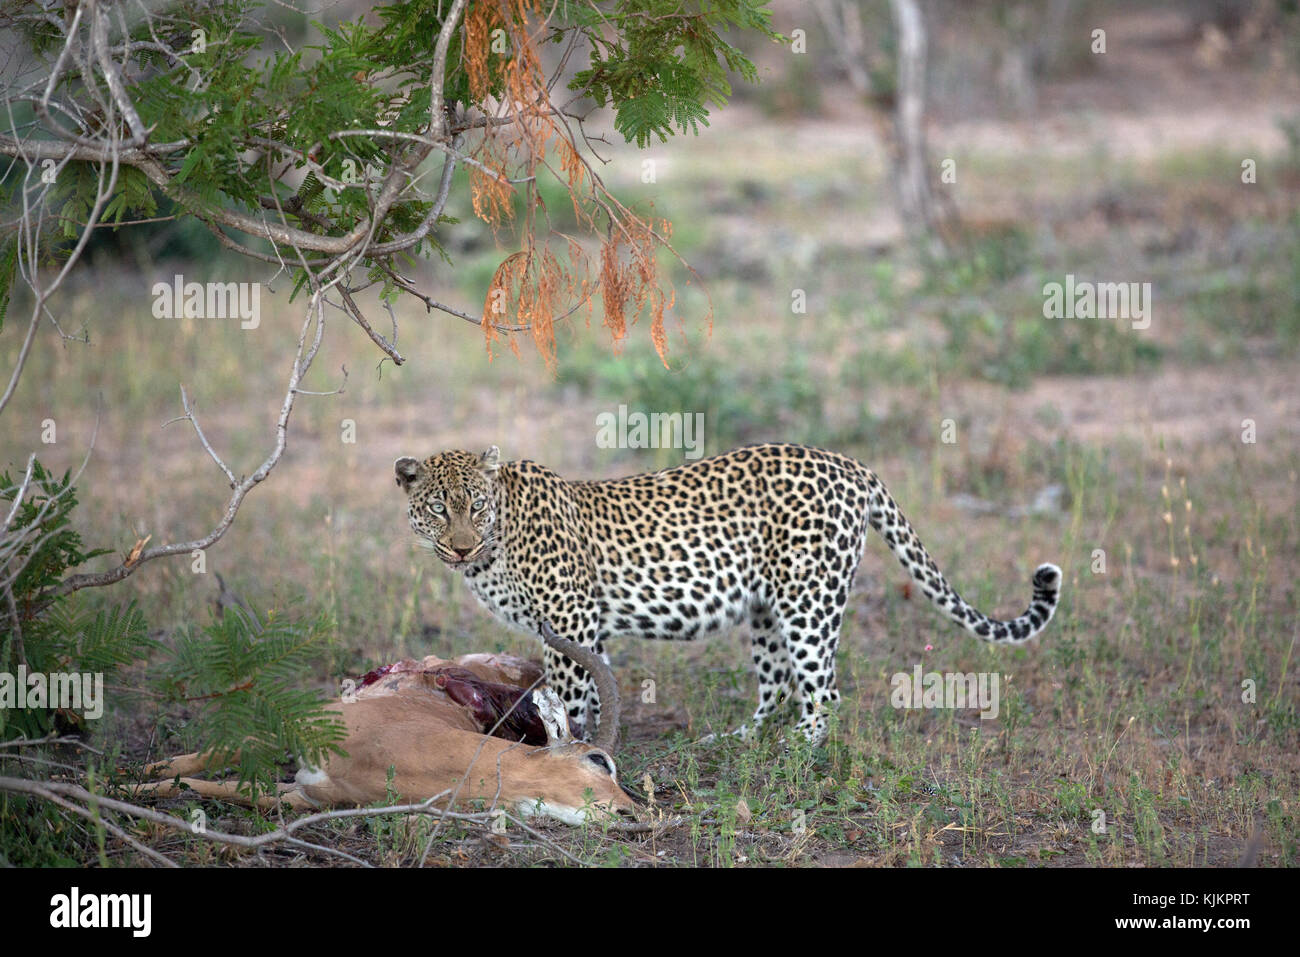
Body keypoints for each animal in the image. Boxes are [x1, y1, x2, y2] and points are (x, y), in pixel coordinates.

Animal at [394, 442, 1062, 746]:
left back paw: (799, 750)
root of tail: (851, 465)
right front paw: (598, 744)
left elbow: (569, 694)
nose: (459, 548)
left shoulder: (570, 619)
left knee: (824, 690)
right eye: (438, 508)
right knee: (778, 685)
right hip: (767, 611)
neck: (496, 544)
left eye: (475, 506)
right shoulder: (591, 627)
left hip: (810, 601)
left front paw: (573, 748)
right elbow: (598, 686)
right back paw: (742, 741)